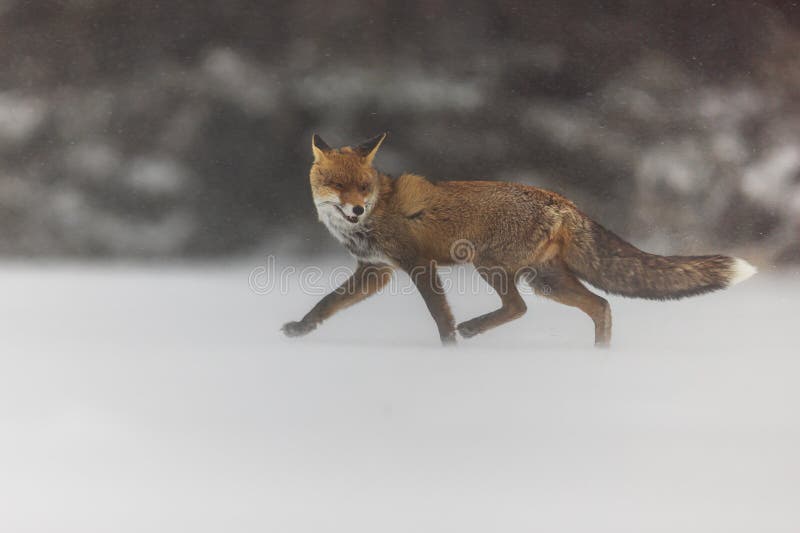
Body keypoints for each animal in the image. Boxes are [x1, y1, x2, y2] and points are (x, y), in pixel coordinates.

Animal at [282, 132, 757, 347]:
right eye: (336, 185)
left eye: (363, 186)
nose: (356, 209)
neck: (378, 212)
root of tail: (562, 200)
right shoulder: (376, 270)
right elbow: (327, 304)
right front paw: (301, 329)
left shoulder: (418, 264)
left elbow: (439, 315)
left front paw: (448, 349)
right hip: (544, 279)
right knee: (601, 306)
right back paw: (600, 360)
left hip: (492, 266)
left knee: (519, 308)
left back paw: (474, 329)